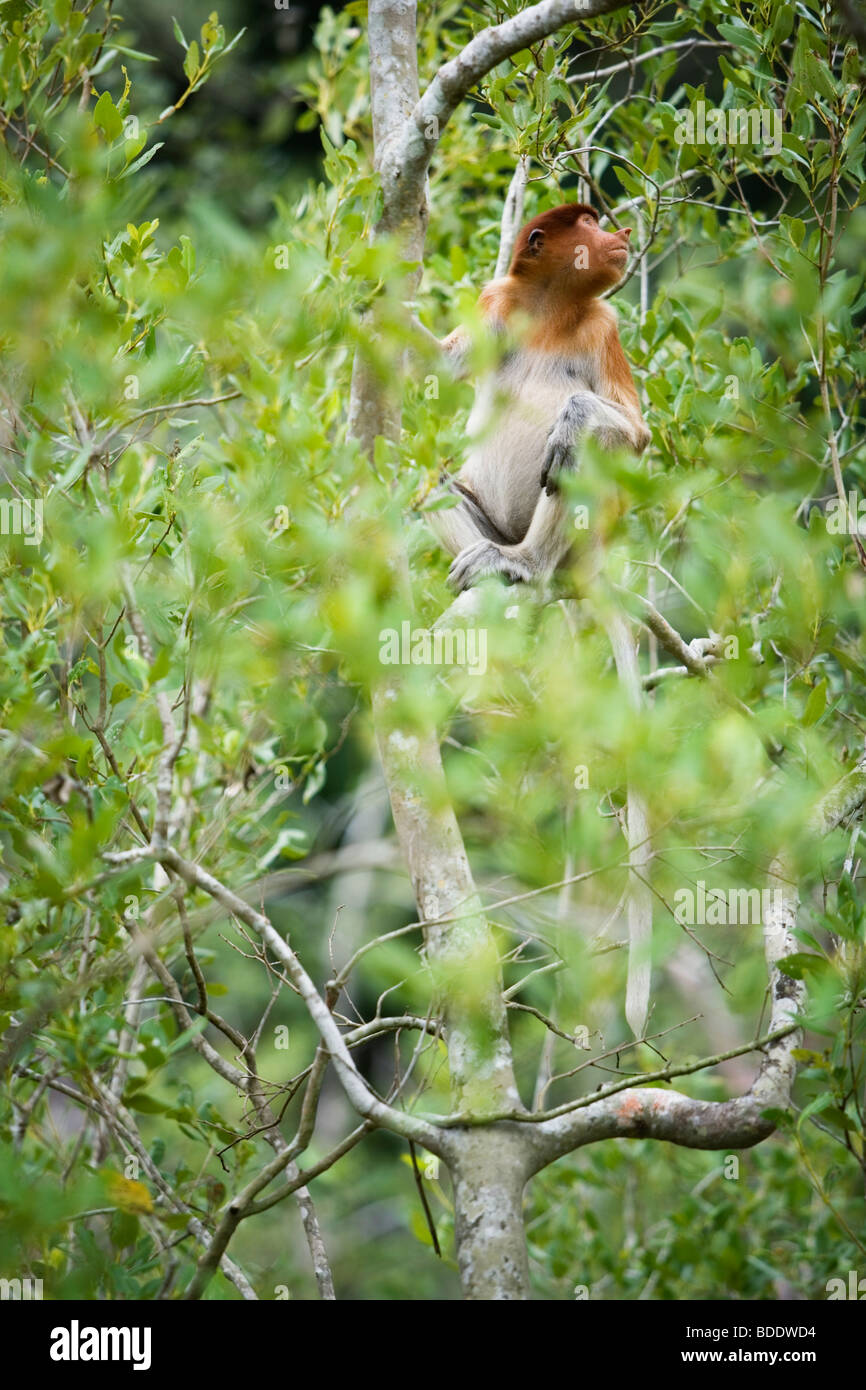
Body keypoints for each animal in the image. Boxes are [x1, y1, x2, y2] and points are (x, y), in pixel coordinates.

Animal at [429, 203, 650, 592]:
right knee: (428, 485)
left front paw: (574, 417)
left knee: (582, 449)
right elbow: (433, 366)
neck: (551, 305)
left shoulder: (603, 326)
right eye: (590, 224)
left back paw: (524, 562)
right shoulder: (495, 302)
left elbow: (637, 432)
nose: (621, 233)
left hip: (587, 547)